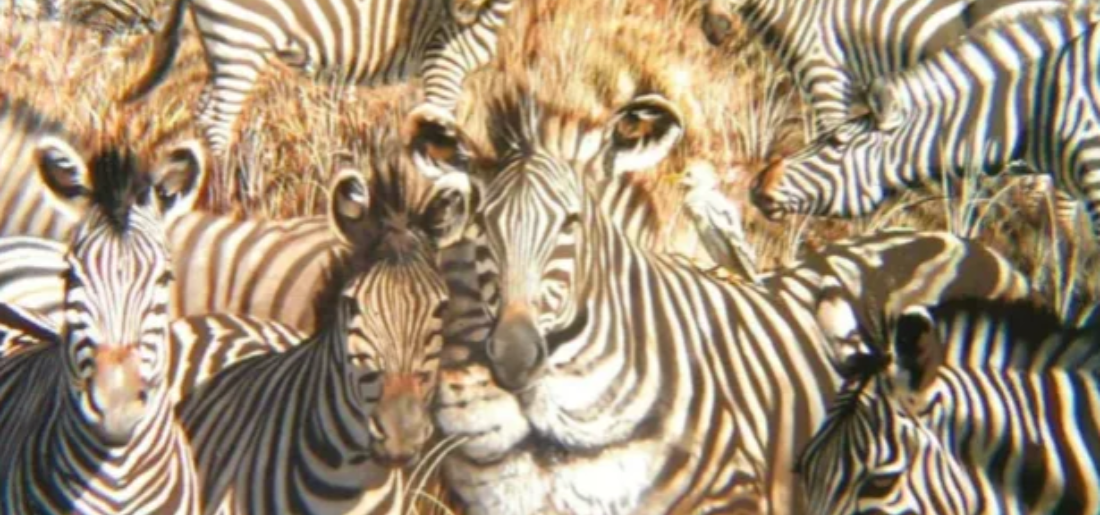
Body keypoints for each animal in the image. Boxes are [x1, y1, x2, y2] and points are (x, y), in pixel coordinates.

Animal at [122, 0, 515, 158]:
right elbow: (437, 132)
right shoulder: (441, 63)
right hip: (241, 40)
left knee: (204, 111)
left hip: (222, 49)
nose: (459, 12)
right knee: (219, 118)